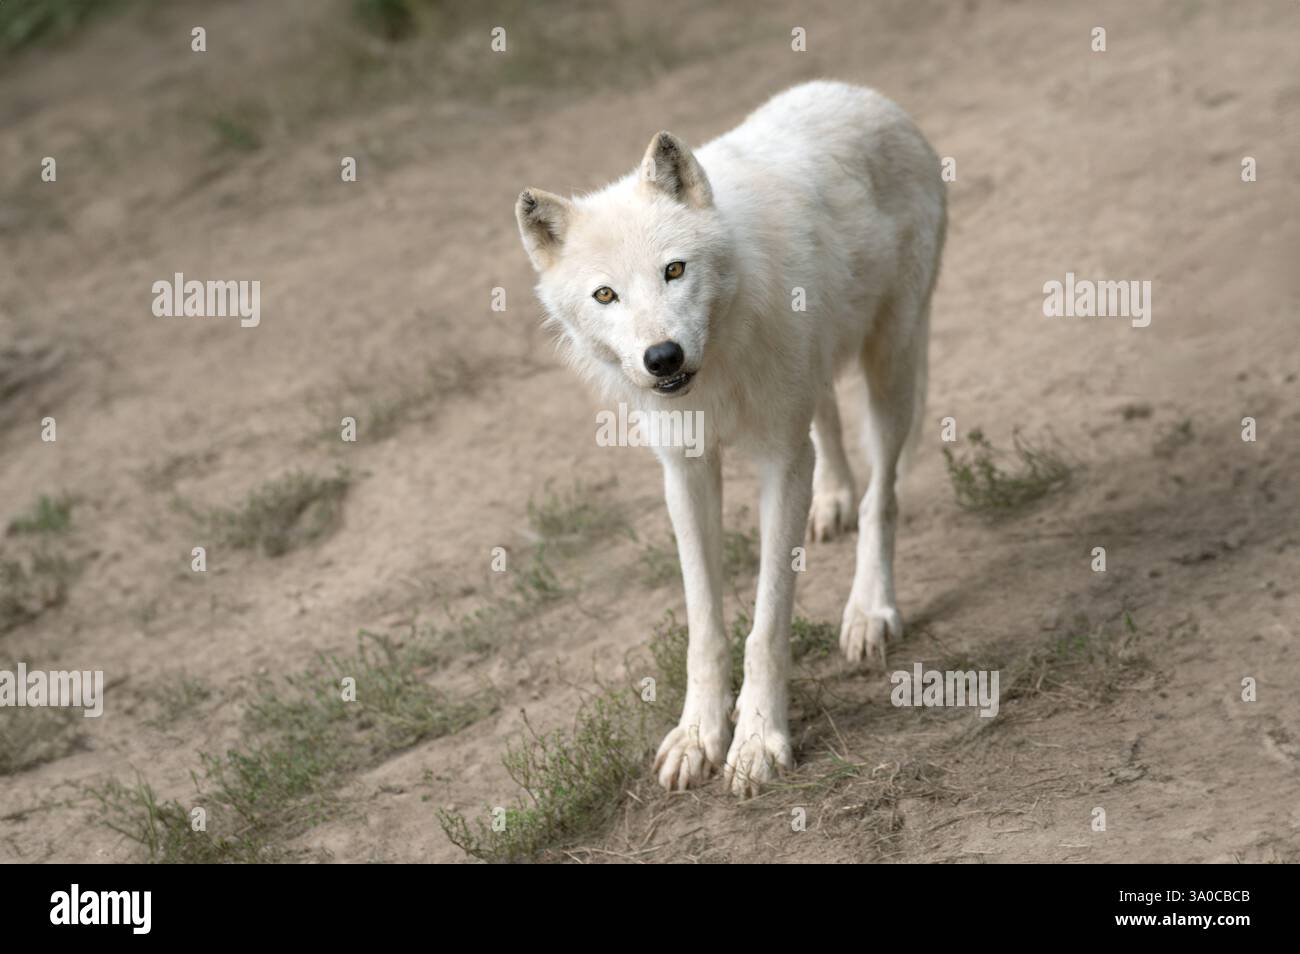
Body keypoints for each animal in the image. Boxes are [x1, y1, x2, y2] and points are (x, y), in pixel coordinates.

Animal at [515, 80, 946, 797]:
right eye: (605, 295)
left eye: (674, 270)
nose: (662, 356)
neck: (719, 359)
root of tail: (862, 94)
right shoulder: (686, 471)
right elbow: (705, 627)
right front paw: (699, 735)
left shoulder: (779, 464)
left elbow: (765, 626)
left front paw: (757, 741)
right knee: (829, 429)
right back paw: (832, 502)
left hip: (891, 368)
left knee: (882, 496)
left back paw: (869, 611)